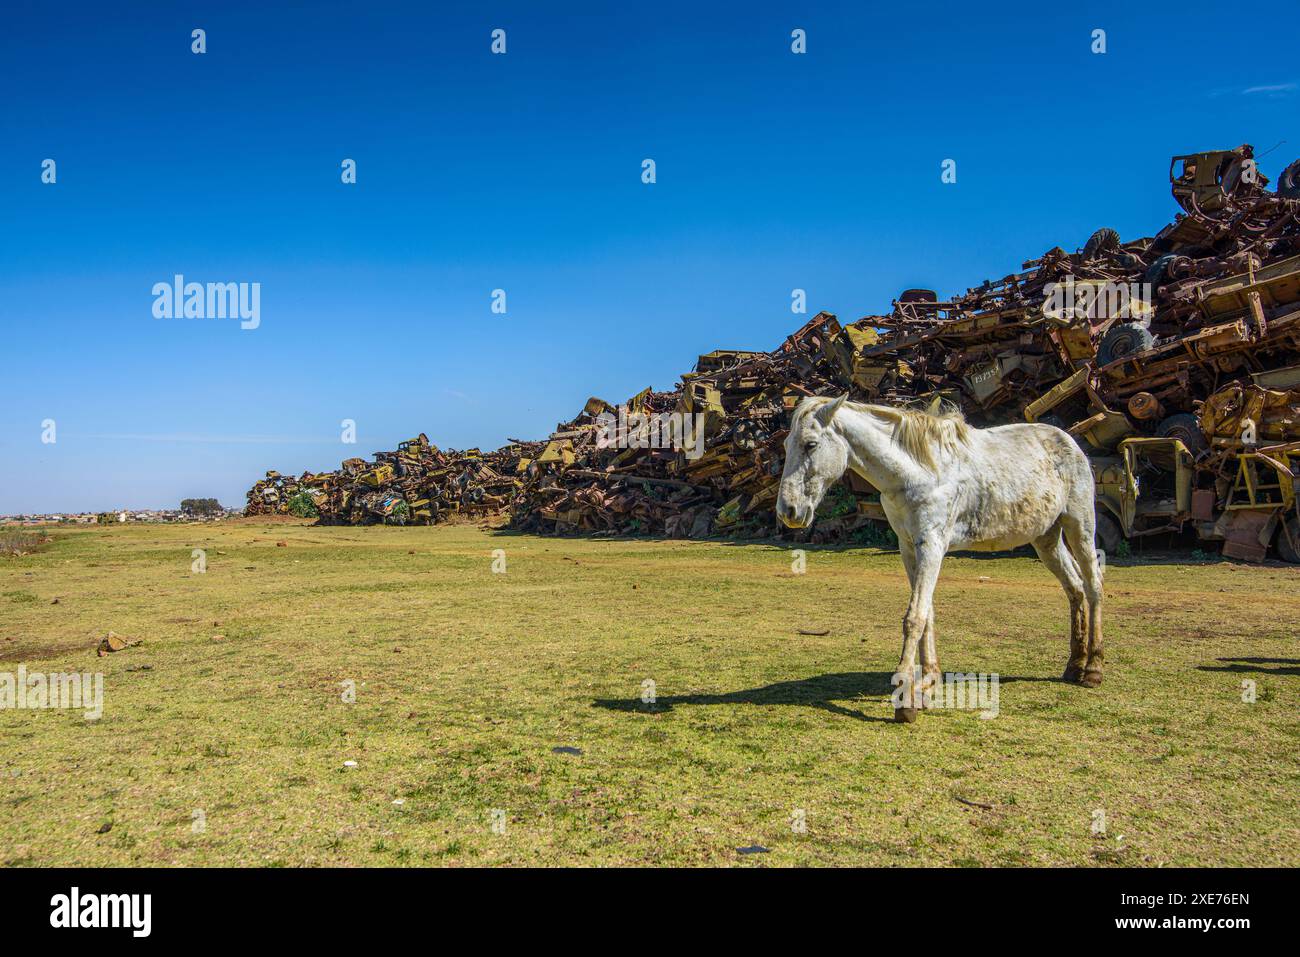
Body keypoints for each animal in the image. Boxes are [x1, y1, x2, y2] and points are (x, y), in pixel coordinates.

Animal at [775, 395, 1104, 723]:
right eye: (787, 444)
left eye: (811, 444)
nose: (788, 511)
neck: (917, 473)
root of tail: (1069, 442)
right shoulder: (909, 548)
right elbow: (927, 614)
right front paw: (927, 684)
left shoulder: (932, 546)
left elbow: (914, 618)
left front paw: (905, 701)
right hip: (1046, 539)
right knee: (1074, 588)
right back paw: (1074, 665)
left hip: (1080, 528)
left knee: (1093, 586)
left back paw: (1093, 669)